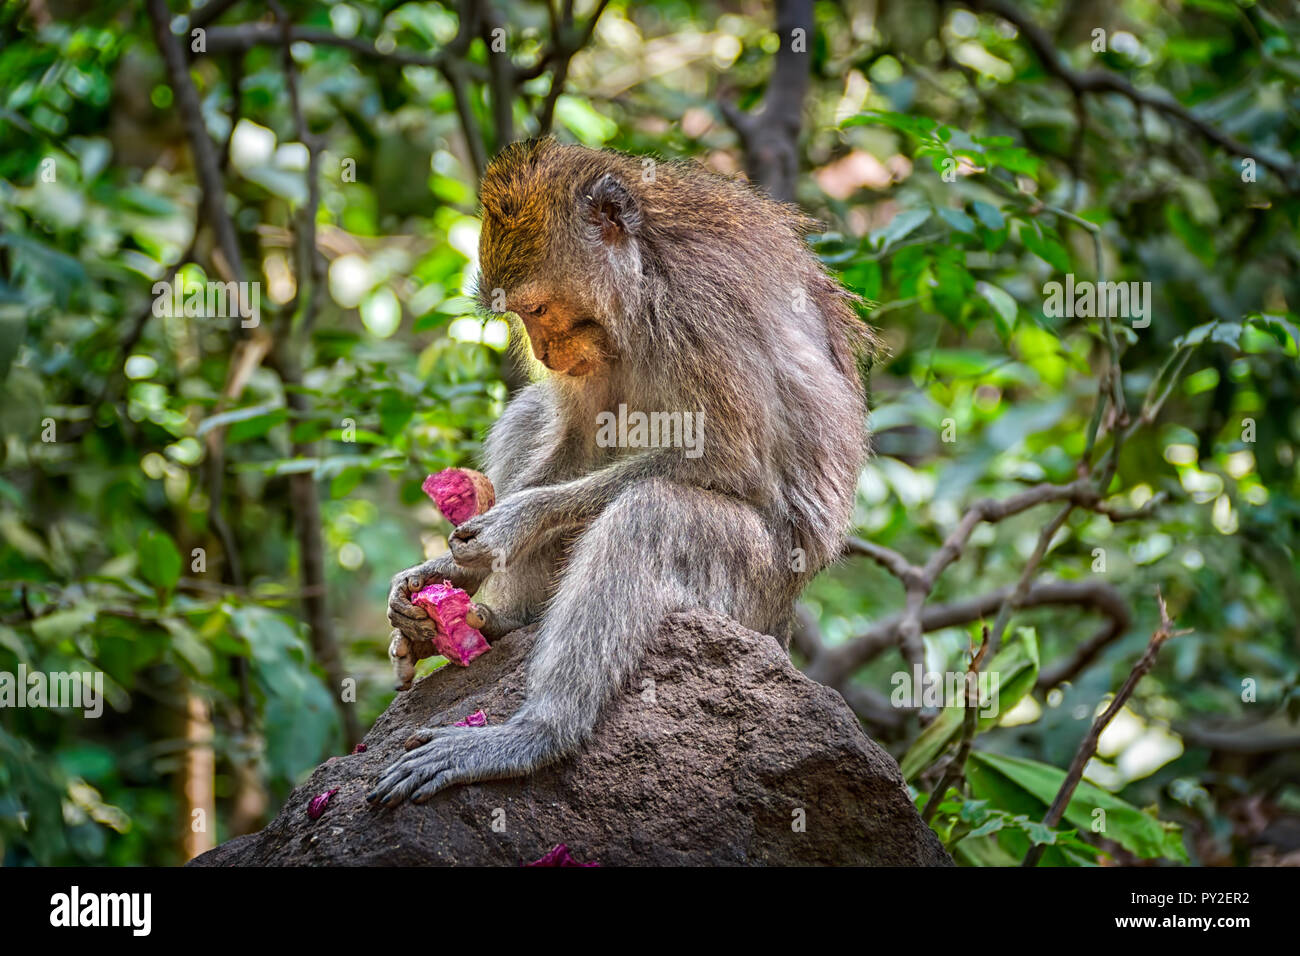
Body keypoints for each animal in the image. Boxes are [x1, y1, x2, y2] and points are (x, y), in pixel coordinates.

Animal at [368, 138, 874, 807]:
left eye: (536, 307)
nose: (544, 351)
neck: (643, 277)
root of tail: (783, 624)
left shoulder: (698, 304)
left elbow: (729, 458)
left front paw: (513, 523)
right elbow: (579, 438)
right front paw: (449, 572)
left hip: (754, 588)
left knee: (649, 516)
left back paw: (535, 734)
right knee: (534, 413)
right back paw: (504, 620)